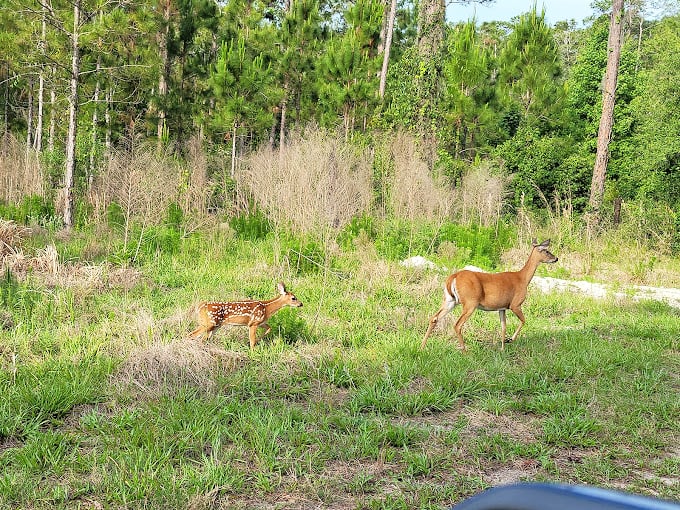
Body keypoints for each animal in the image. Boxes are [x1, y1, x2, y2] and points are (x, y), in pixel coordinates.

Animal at [421, 239, 558, 352]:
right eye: (546, 250)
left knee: (434, 318)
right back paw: (465, 352)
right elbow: (523, 321)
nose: (556, 258)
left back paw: (422, 347)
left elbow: (503, 327)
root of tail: (453, 277)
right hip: (470, 302)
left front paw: (502, 348)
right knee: (457, 324)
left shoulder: (502, 308)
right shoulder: (515, 304)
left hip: (450, 300)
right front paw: (510, 340)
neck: (522, 278)